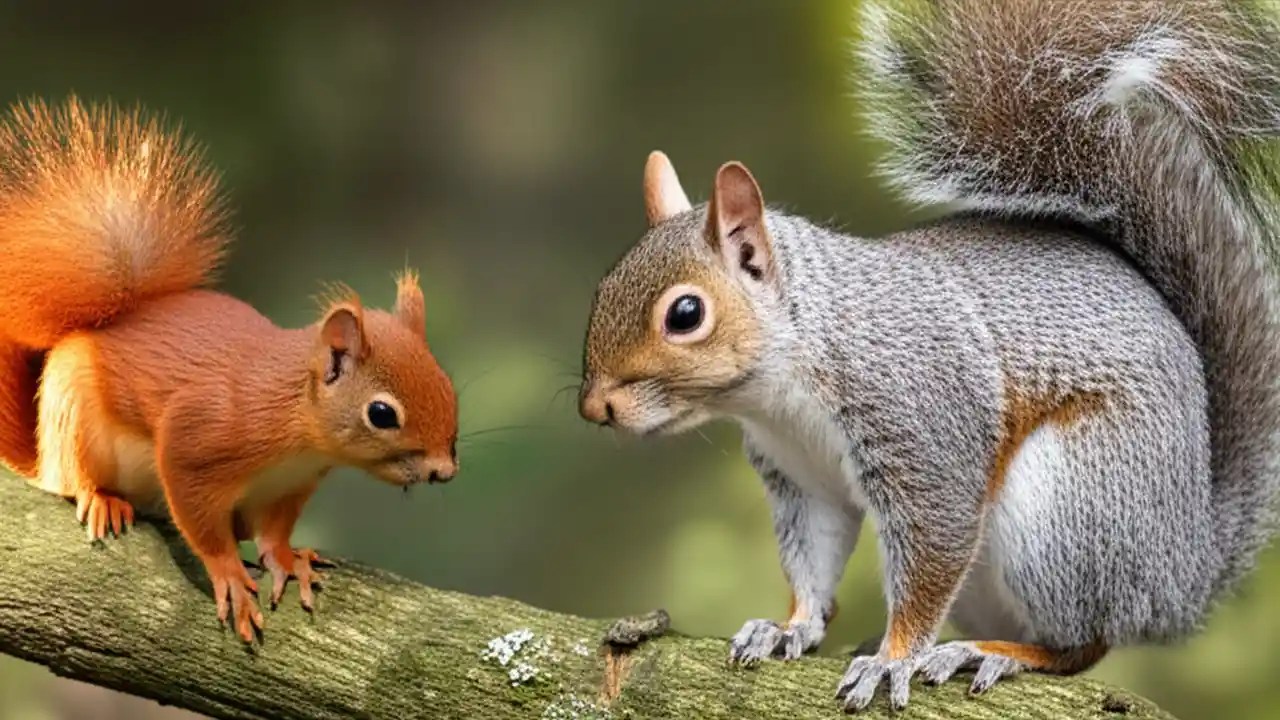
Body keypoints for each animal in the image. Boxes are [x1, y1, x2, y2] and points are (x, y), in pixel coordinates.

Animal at [0, 97, 459, 643]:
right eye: (382, 414)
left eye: (450, 389)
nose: (445, 471)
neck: (295, 430)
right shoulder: (197, 439)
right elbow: (200, 521)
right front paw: (230, 576)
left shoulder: (286, 487)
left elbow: (274, 532)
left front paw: (286, 559)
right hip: (72, 417)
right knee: (72, 478)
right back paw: (100, 498)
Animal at [580, 0, 1280, 712]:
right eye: (603, 286)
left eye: (685, 314)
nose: (594, 407)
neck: (786, 382)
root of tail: (1183, 579)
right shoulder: (802, 477)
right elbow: (812, 563)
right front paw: (790, 628)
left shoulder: (921, 425)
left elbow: (930, 555)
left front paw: (894, 659)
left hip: (1070, 517)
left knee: (1083, 642)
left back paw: (992, 653)